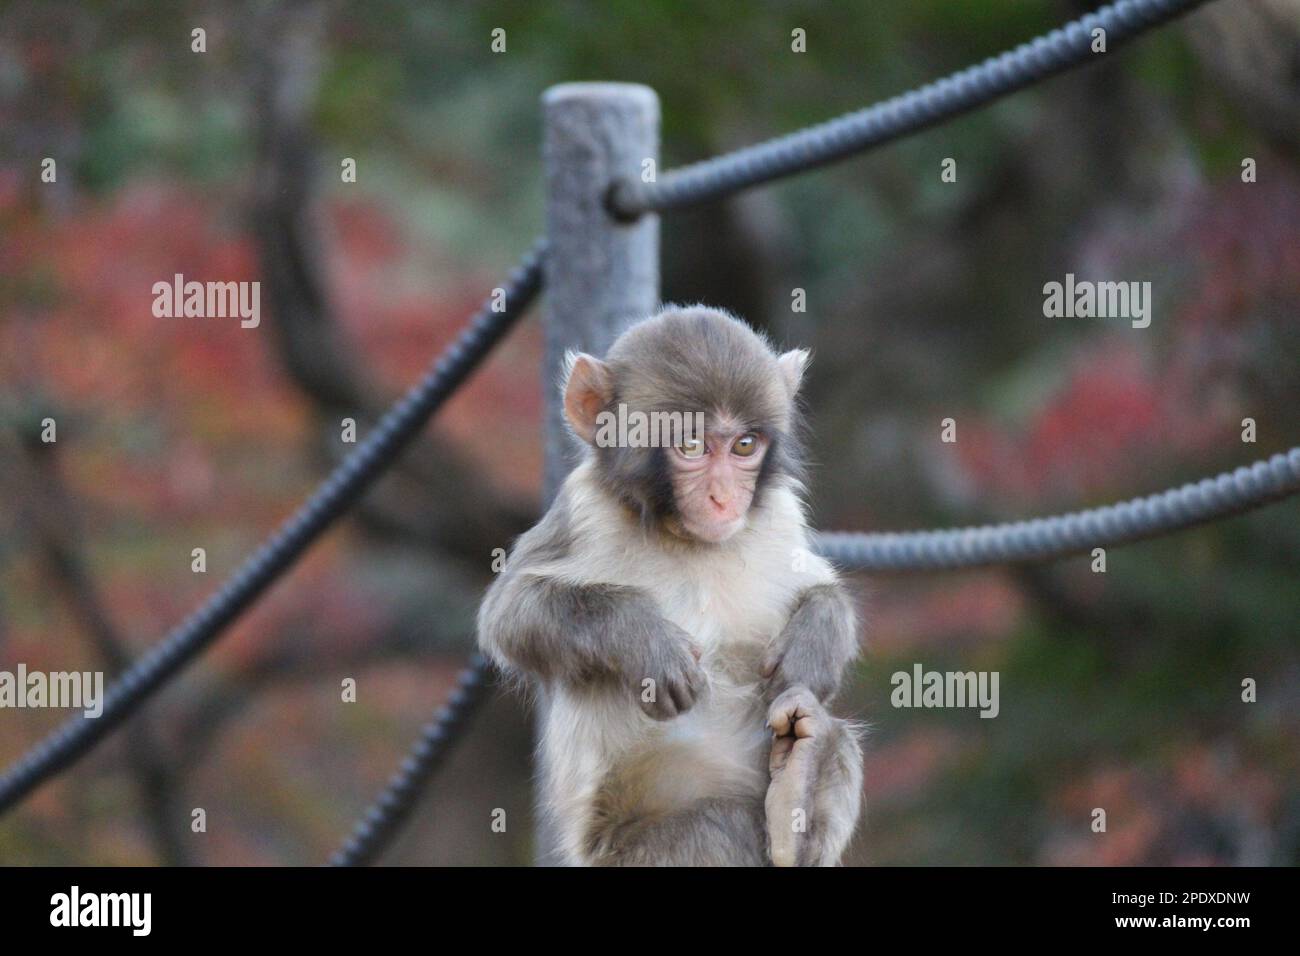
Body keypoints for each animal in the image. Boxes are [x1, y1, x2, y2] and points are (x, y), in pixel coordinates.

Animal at [477, 305, 863, 866]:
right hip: (638, 850)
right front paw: (646, 642)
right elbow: (509, 613)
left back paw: (799, 789)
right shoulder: (582, 508)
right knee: (711, 826)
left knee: (829, 732)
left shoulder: (781, 518)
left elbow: (822, 587)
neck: (684, 537)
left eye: (744, 445)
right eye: (692, 445)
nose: (724, 498)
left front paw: (815, 642)